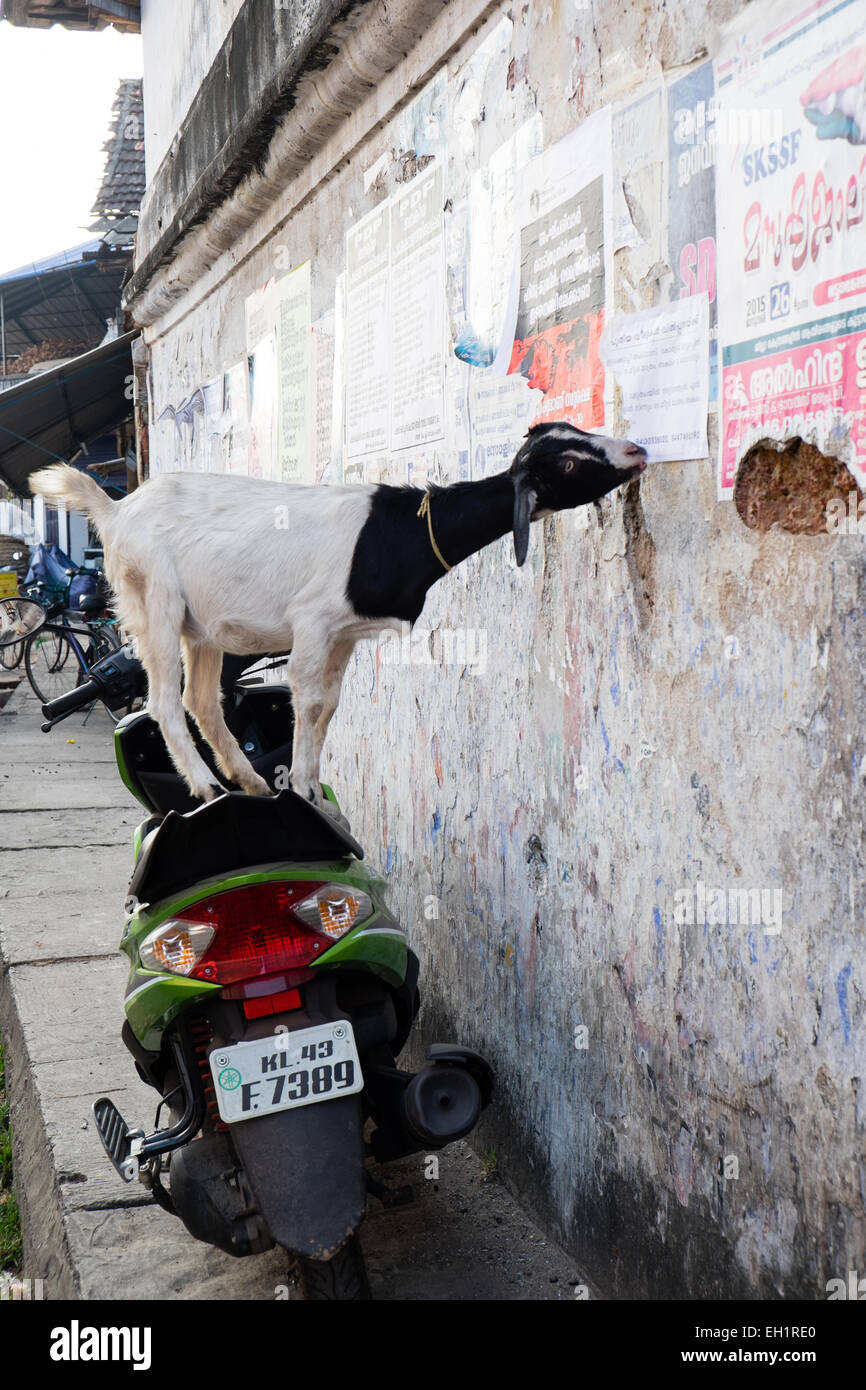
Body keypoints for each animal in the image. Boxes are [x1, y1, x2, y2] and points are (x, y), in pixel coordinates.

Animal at [30, 422, 646, 806]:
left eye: (575, 430)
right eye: (569, 463)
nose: (637, 451)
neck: (401, 532)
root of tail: (114, 510)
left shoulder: (346, 635)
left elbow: (328, 707)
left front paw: (309, 785)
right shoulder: (313, 621)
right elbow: (305, 700)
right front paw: (303, 788)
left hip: (201, 628)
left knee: (201, 701)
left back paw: (250, 784)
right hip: (155, 600)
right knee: (162, 701)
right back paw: (208, 789)